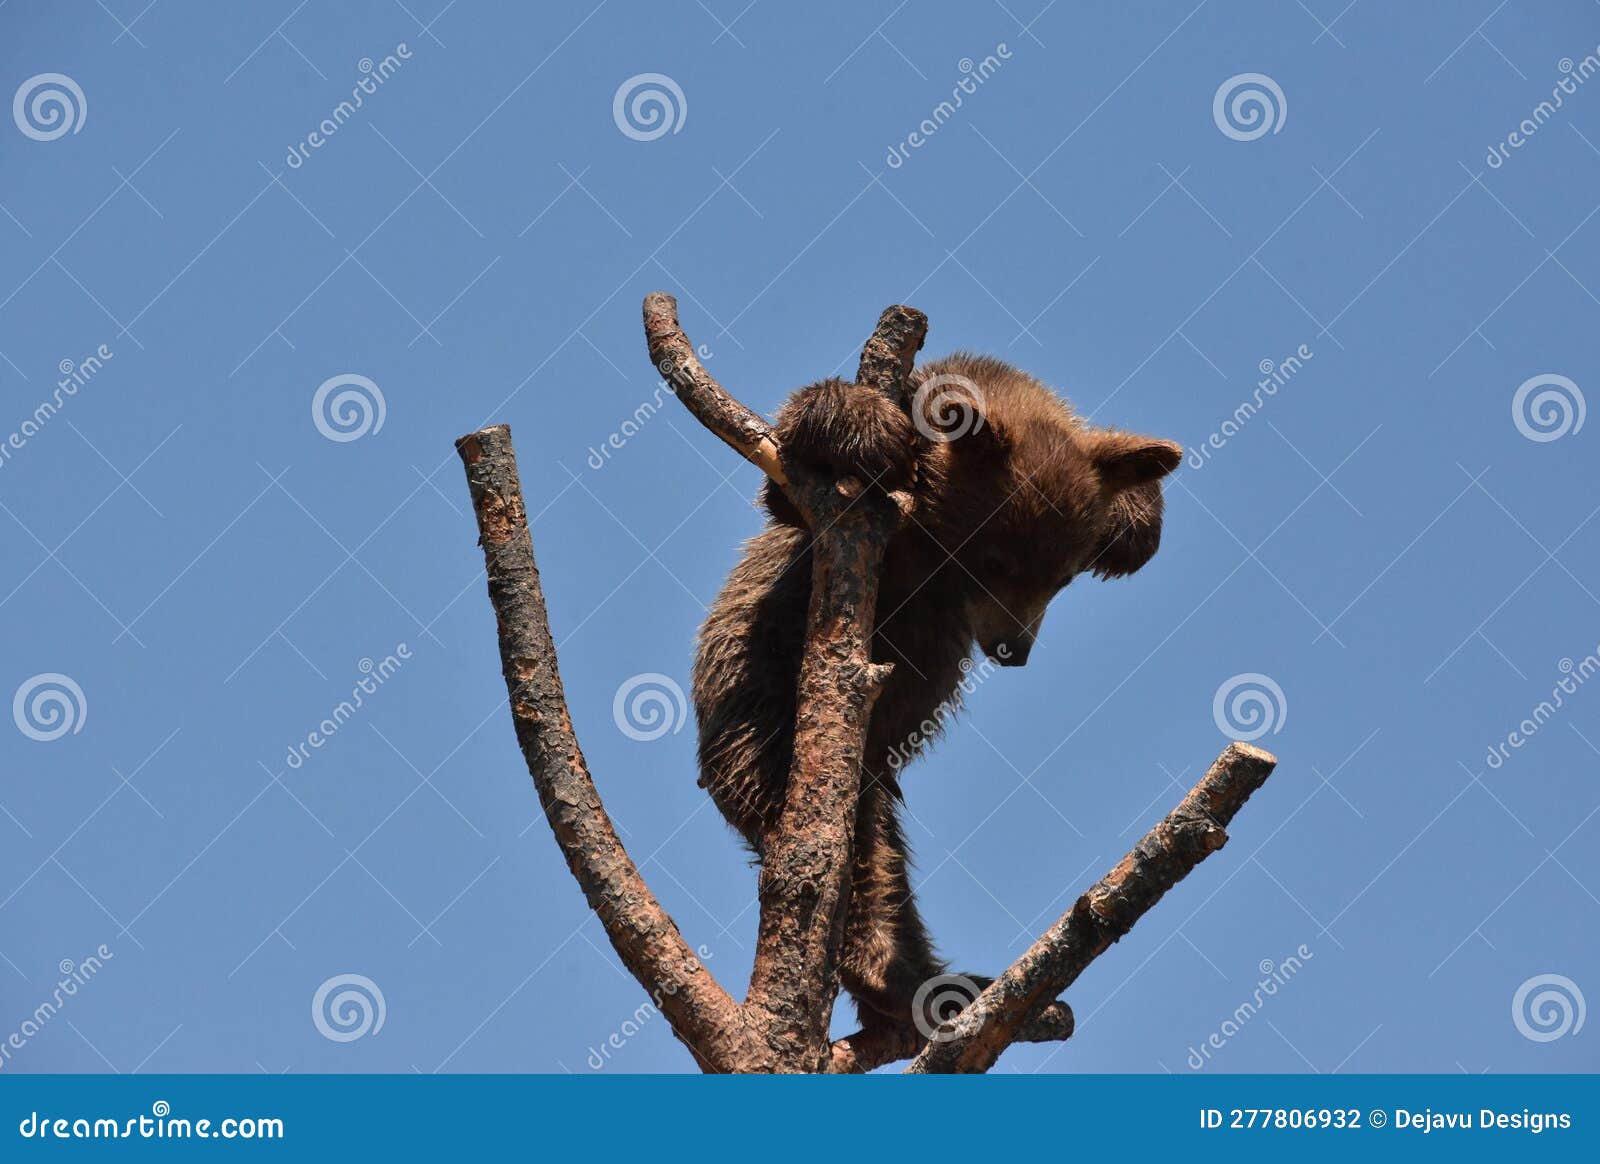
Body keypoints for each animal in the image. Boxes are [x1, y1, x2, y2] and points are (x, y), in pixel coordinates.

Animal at [692, 352, 1182, 1031]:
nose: (1013, 650)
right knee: (846, 854)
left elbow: (1133, 522)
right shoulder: (838, 529)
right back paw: (888, 968)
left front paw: (1140, 486)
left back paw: (935, 982)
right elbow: (792, 487)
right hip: (762, 721)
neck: (935, 557)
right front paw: (862, 427)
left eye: (1061, 575)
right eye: (994, 559)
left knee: (882, 858)